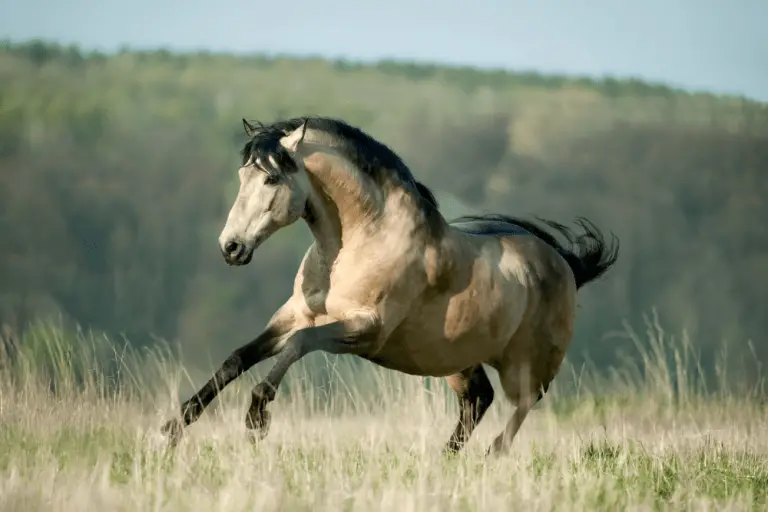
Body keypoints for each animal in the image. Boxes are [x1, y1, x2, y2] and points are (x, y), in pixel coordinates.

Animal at [161, 115, 619, 455]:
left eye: (271, 180)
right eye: (243, 175)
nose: (231, 247)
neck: (362, 241)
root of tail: (564, 264)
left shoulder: (365, 329)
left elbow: (299, 344)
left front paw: (256, 417)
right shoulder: (293, 314)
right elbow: (237, 358)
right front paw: (173, 428)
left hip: (524, 366)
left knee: (521, 405)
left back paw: (489, 456)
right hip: (456, 360)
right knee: (478, 399)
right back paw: (446, 459)